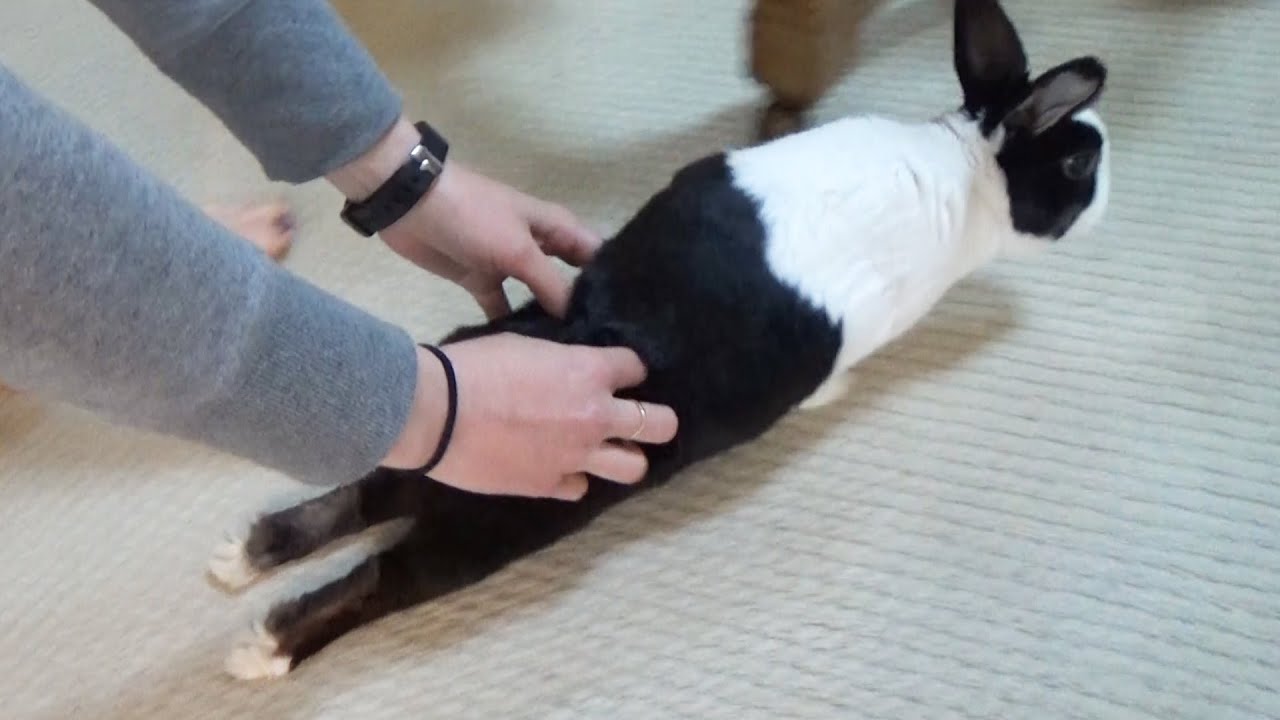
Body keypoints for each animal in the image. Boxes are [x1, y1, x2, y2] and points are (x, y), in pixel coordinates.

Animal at [209, 0, 1111, 680]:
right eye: (1078, 169)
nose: (1107, 200)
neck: (970, 167)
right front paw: (833, 395)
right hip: (497, 531)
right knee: (384, 577)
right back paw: (263, 650)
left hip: (427, 403)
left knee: (367, 491)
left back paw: (243, 555)